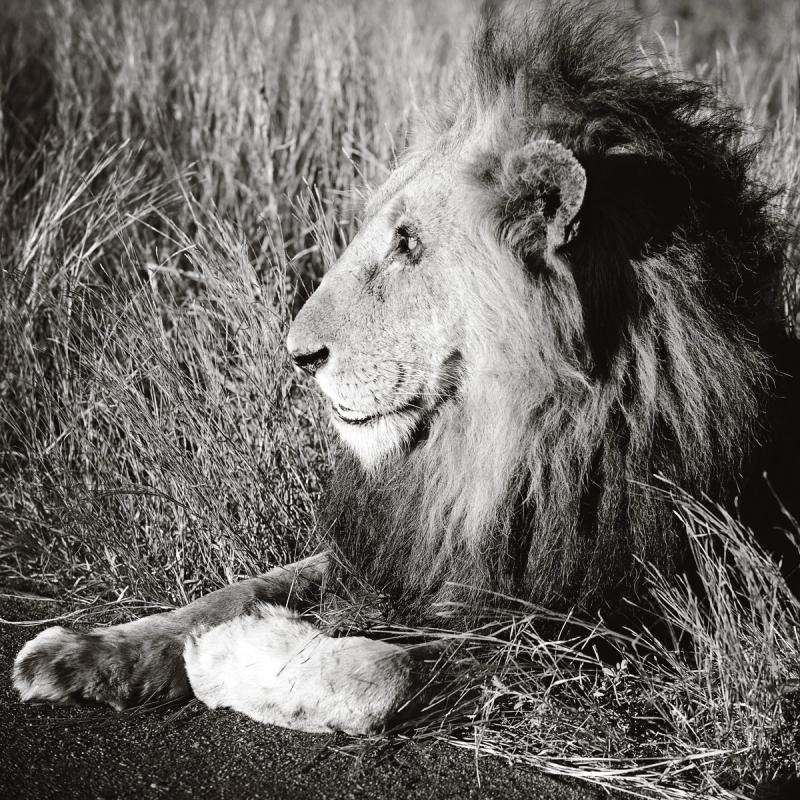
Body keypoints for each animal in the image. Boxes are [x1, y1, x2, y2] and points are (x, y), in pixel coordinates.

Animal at [12, 2, 800, 735]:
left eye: (409, 243)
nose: (298, 356)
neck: (510, 443)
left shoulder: (608, 631)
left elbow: (385, 668)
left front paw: (225, 654)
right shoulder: (398, 549)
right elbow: (236, 588)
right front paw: (86, 649)